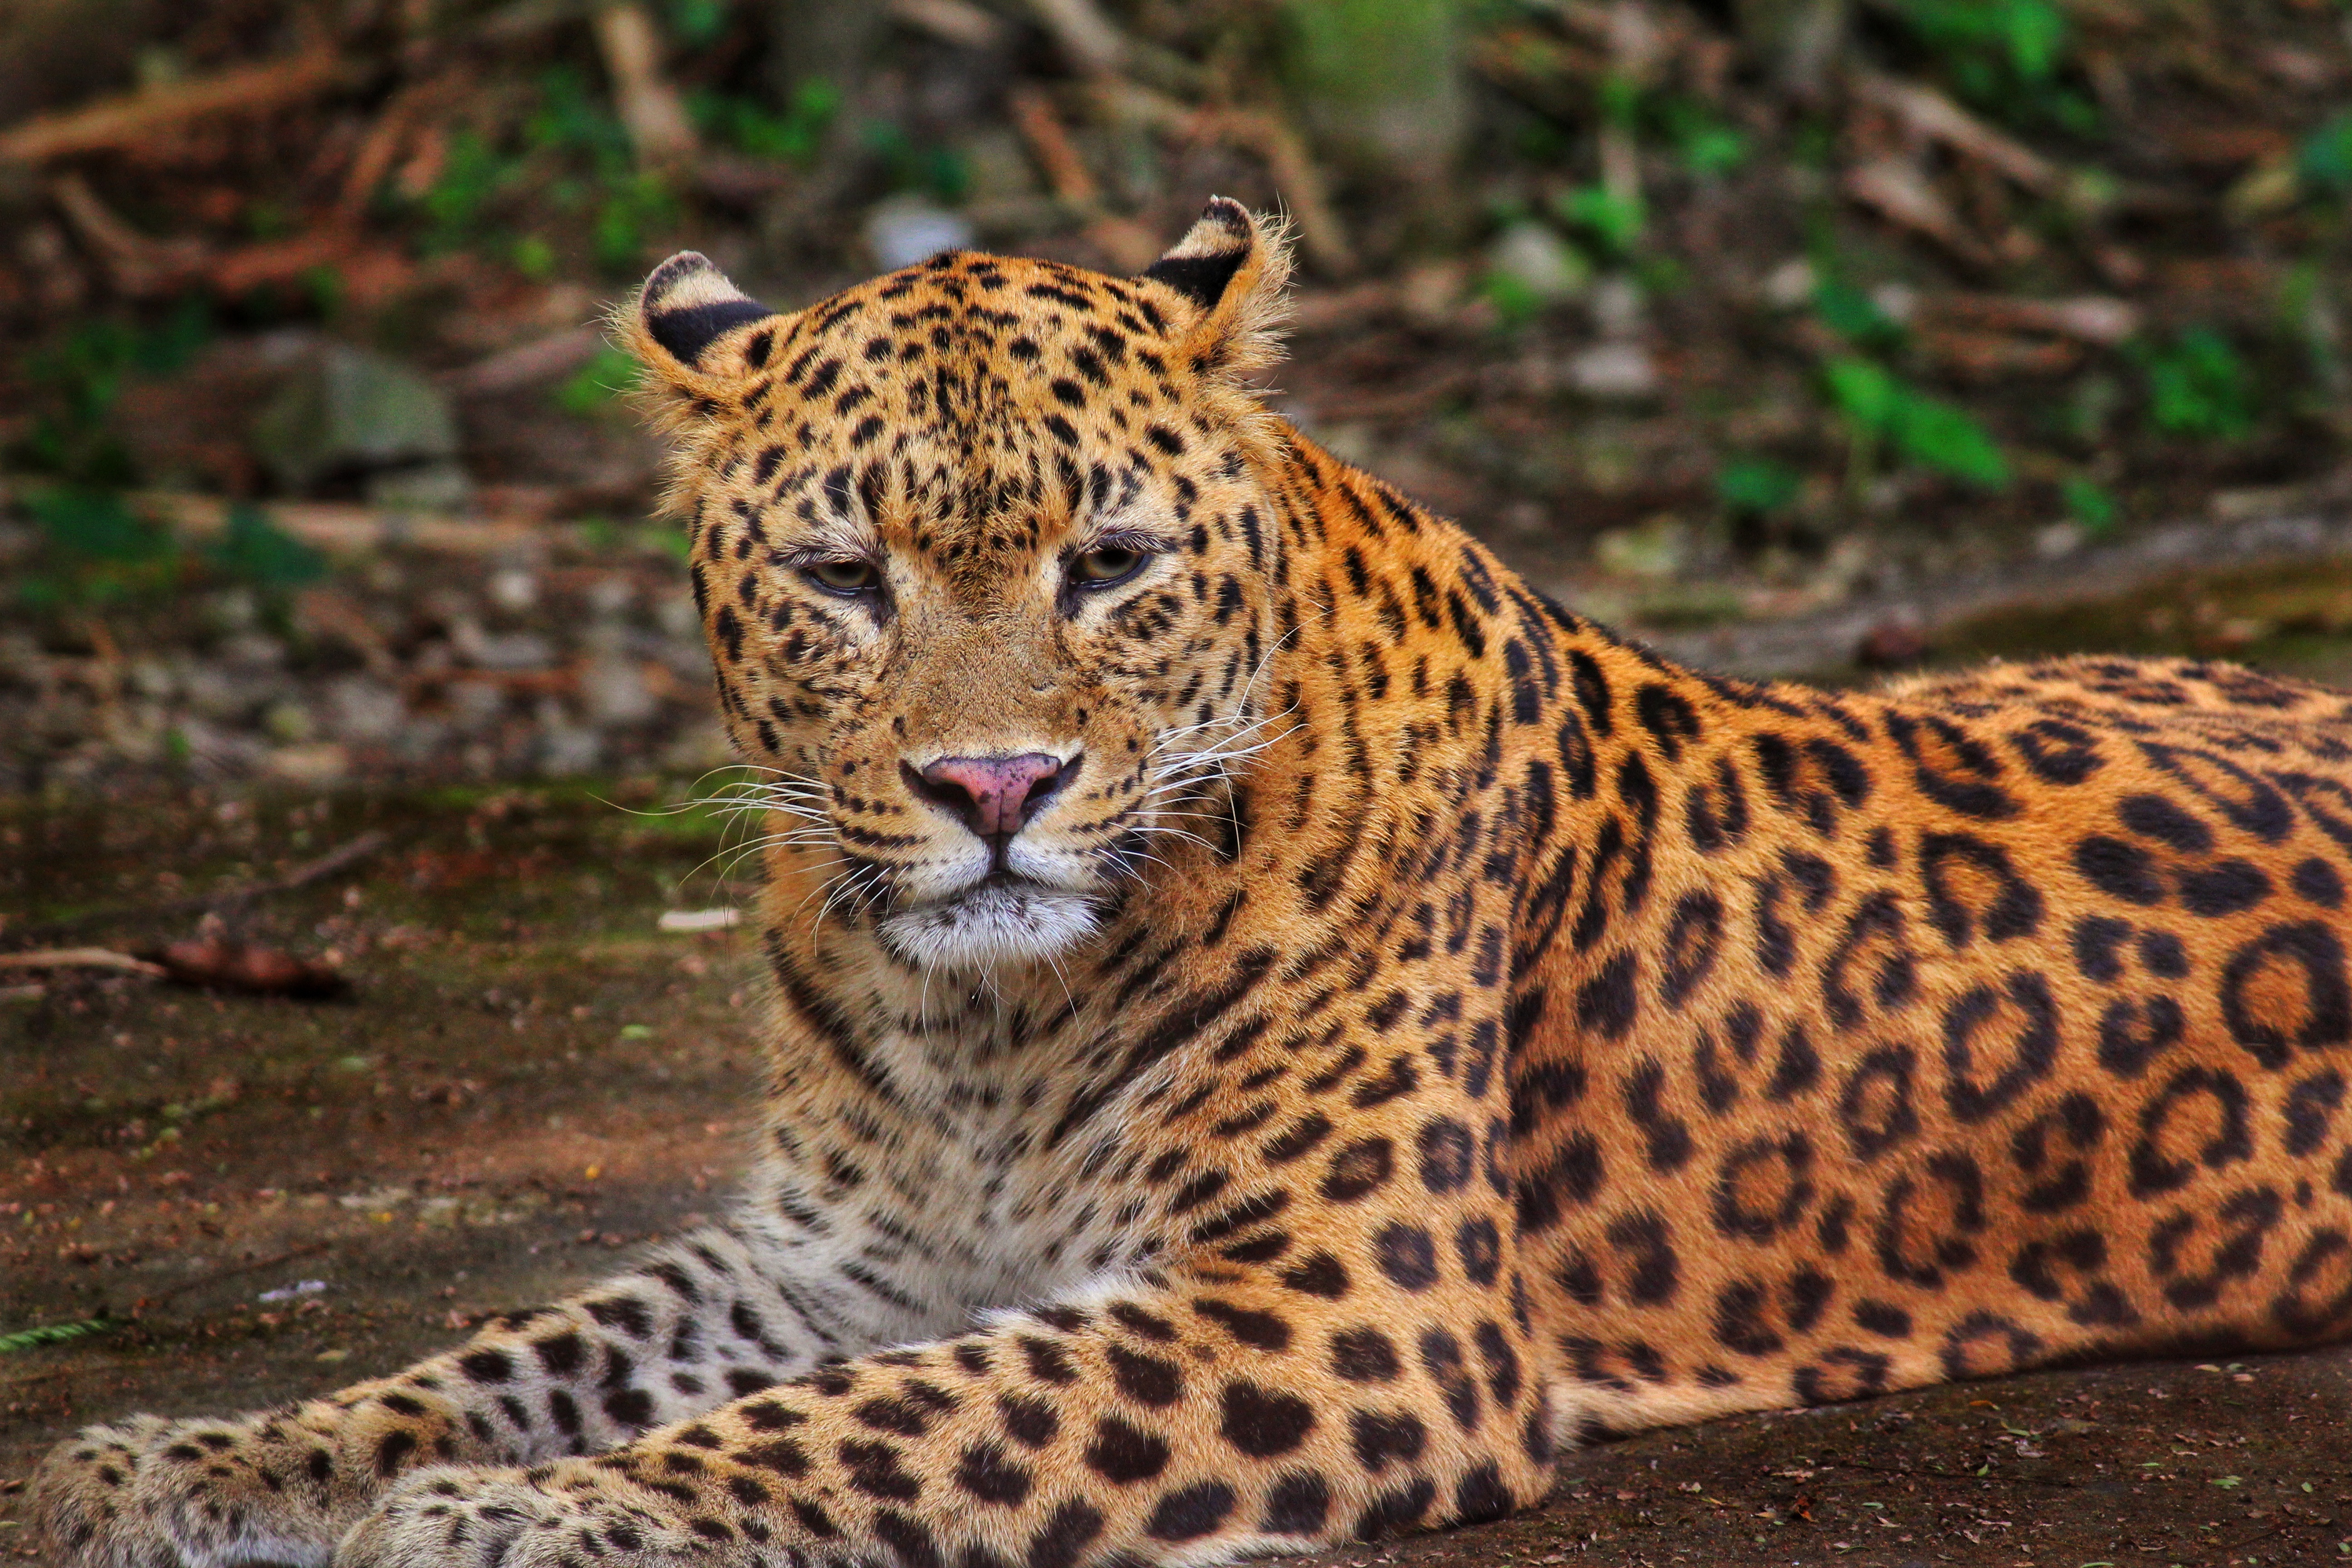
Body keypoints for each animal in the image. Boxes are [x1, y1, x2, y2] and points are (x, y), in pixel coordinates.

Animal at [35, 197, 2352, 1568]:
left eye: (1112, 561)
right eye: (840, 573)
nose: (991, 783)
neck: (975, 1020)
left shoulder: (1346, 1301)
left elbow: (900, 1418)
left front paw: (522, 1520)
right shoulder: (833, 1252)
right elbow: (513, 1346)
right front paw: (164, 1465)